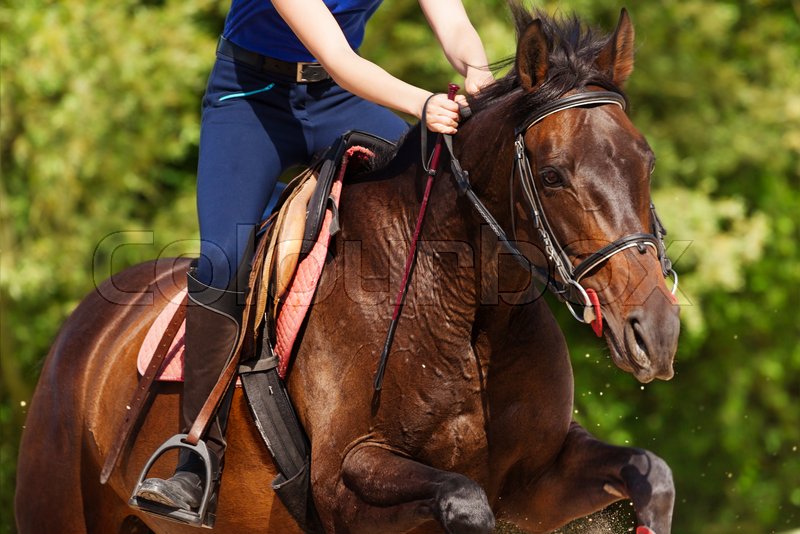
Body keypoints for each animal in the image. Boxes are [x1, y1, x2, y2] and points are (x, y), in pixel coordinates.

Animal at [15, 5, 680, 533]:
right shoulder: (343, 482)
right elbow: (463, 499)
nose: (656, 331)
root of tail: (86, 328)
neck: (465, 310)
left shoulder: (536, 483)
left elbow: (653, 475)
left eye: (645, 161)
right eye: (552, 176)